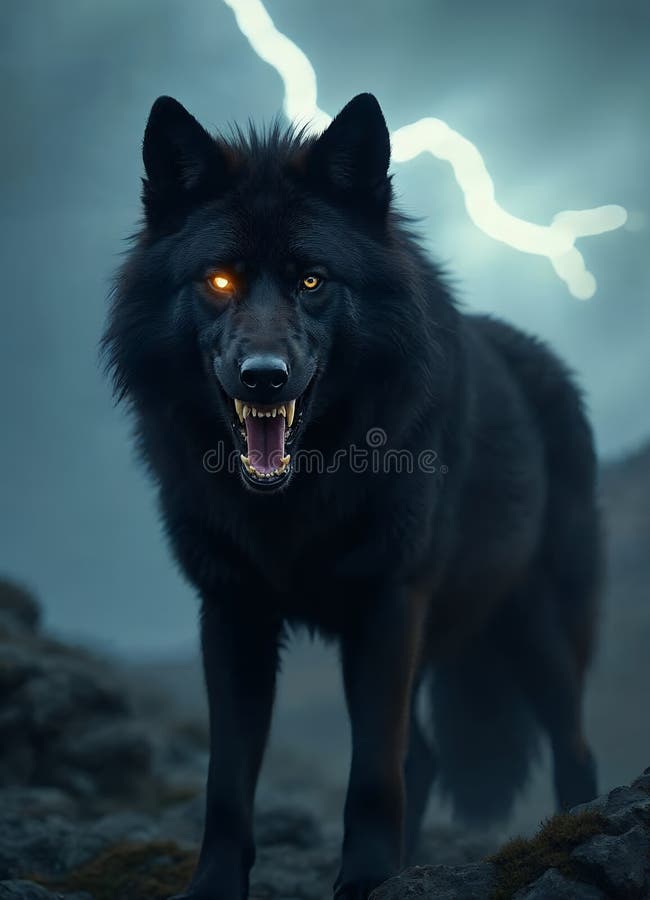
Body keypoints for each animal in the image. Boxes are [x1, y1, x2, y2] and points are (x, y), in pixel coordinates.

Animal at [103, 93, 600, 899]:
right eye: (219, 282)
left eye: (311, 281)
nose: (263, 376)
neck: (297, 497)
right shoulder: (231, 610)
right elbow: (227, 779)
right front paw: (215, 886)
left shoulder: (388, 602)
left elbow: (372, 771)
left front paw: (367, 880)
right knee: (424, 756)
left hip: (538, 628)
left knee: (571, 747)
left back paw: (571, 834)